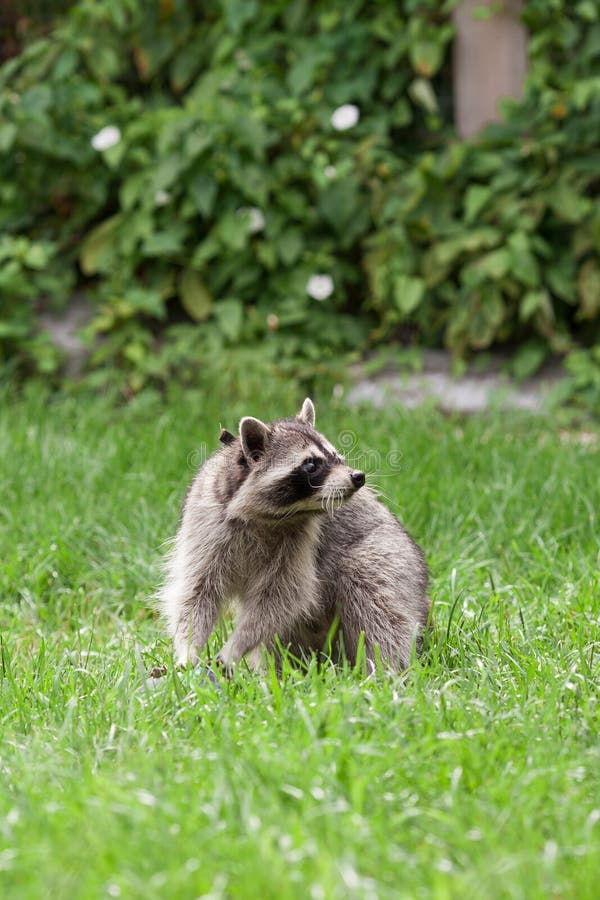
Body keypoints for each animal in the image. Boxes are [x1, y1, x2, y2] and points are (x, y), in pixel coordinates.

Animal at [159, 398, 429, 672]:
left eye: (336, 456)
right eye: (311, 464)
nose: (358, 476)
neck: (268, 516)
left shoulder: (301, 542)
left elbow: (282, 598)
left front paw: (237, 644)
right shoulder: (206, 522)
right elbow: (196, 591)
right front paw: (189, 648)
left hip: (390, 553)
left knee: (377, 604)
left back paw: (384, 669)